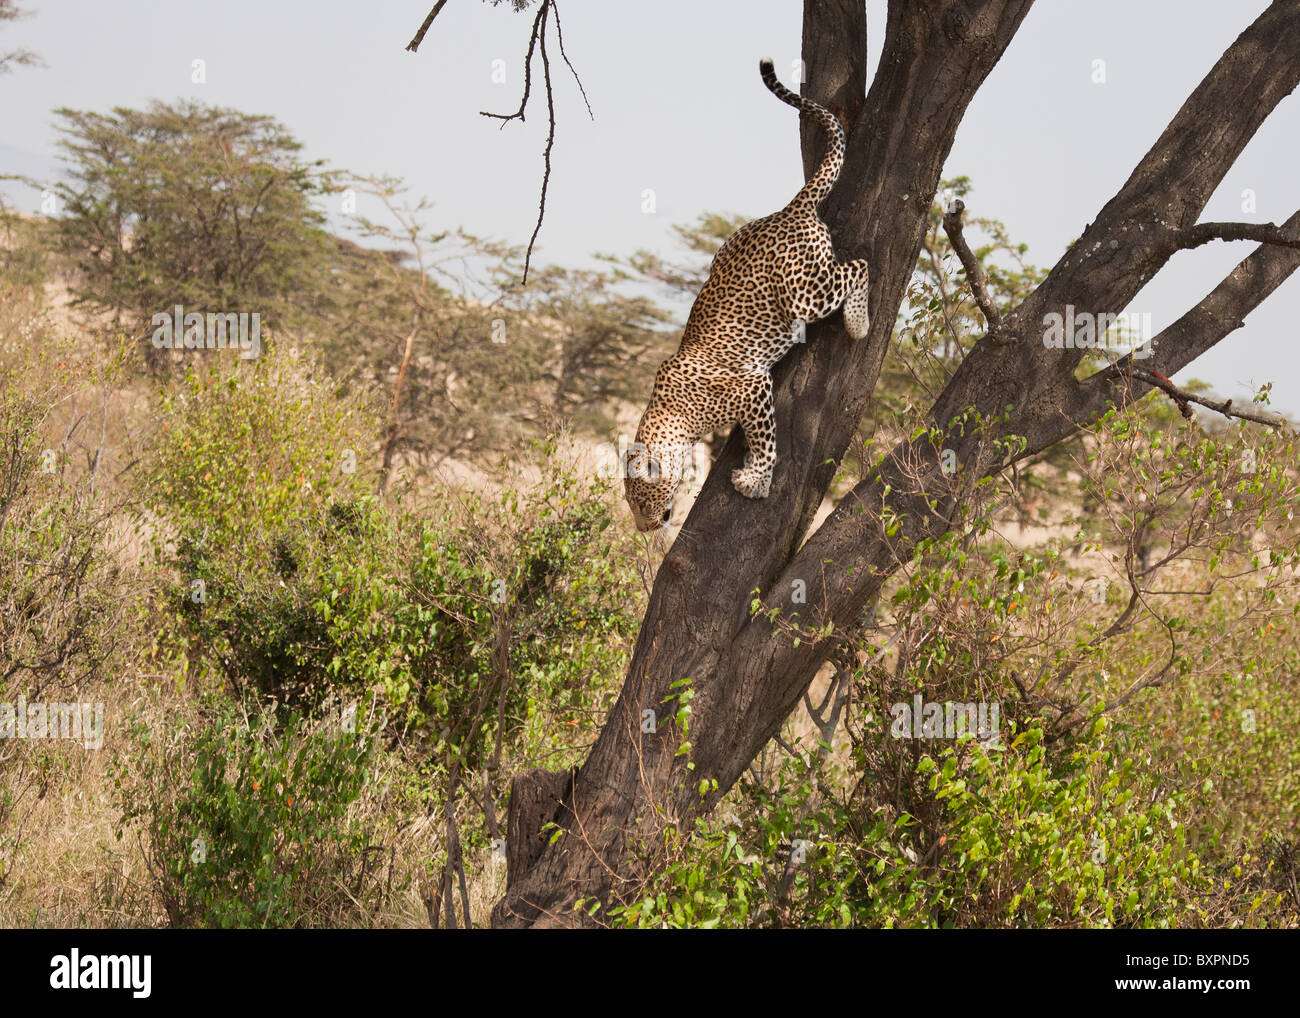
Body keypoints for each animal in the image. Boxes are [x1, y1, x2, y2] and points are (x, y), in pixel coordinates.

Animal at [623, 58, 870, 533]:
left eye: (642, 501)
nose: (646, 529)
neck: (673, 417)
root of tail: (789, 211)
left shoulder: (753, 388)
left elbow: (767, 440)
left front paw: (755, 482)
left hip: (806, 293)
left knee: (861, 267)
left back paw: (859, 322)